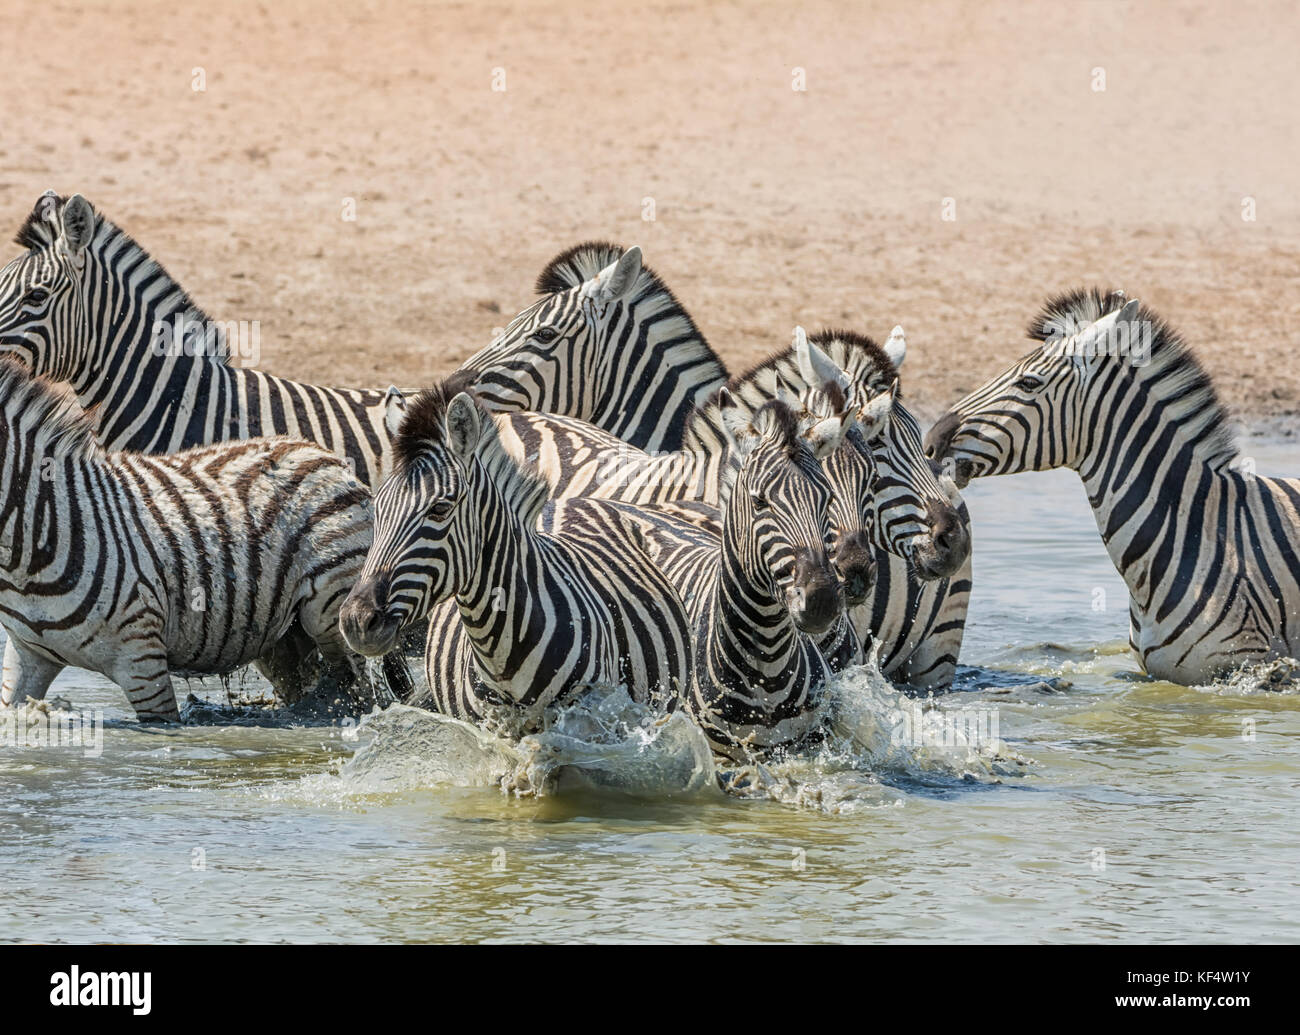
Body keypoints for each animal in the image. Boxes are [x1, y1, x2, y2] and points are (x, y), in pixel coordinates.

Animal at [0, 359, 375, 721]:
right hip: (285, 636)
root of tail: (320, 452)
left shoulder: (142, 662)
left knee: (363, 692)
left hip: (331, 611)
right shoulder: (26, 654)